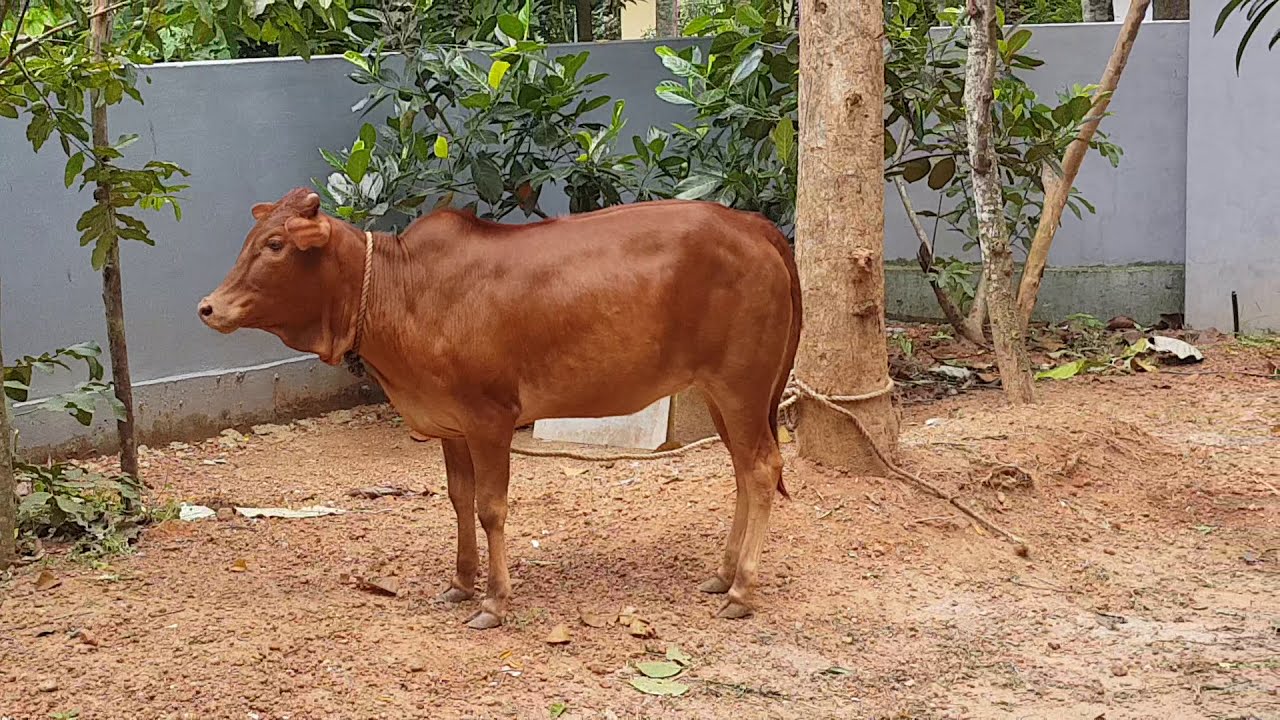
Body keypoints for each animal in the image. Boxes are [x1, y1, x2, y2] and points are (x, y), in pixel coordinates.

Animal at [199, 188, 801, 629]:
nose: (208, 307)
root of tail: (752, 224)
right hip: (724, 394)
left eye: (276, 244)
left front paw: (493, 600)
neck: (403, 288)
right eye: (253, 238)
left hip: (741, 387)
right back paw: (723, 574)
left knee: (761, 469)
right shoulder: (451, 424)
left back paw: (742, 589)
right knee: (744, 472)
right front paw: (461, 583)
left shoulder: (490, 417)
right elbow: (459, 500)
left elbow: (491, 507)